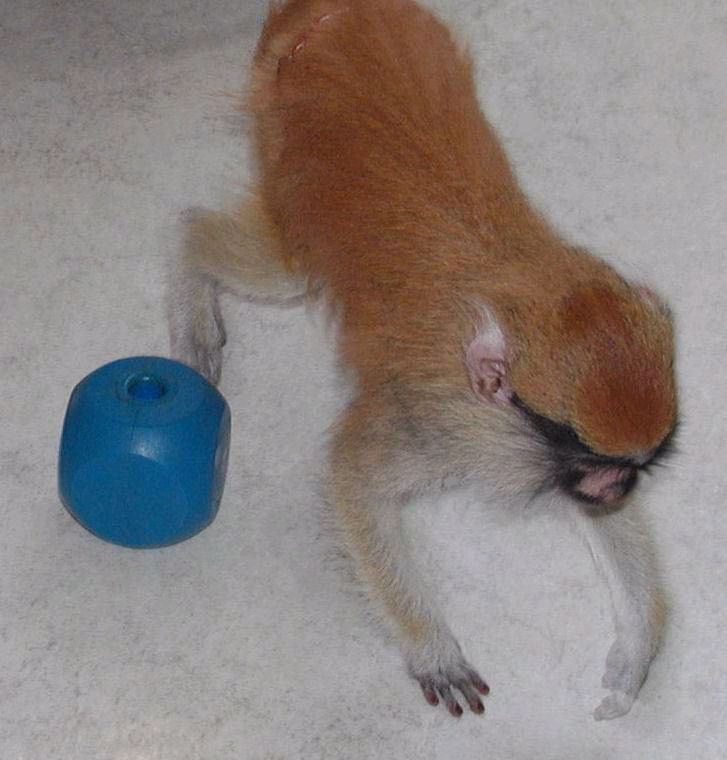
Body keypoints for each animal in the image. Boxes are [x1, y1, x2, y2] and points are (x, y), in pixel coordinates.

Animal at [169, 0, 678, 720]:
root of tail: (333, 18)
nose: (619, 488)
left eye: (630, 467)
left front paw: (635, 653)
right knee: (259, 259)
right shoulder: (431, 419)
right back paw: (192, 285)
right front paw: (432, 649)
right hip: (289, 156)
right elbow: (352, 480)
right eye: (593, 463)